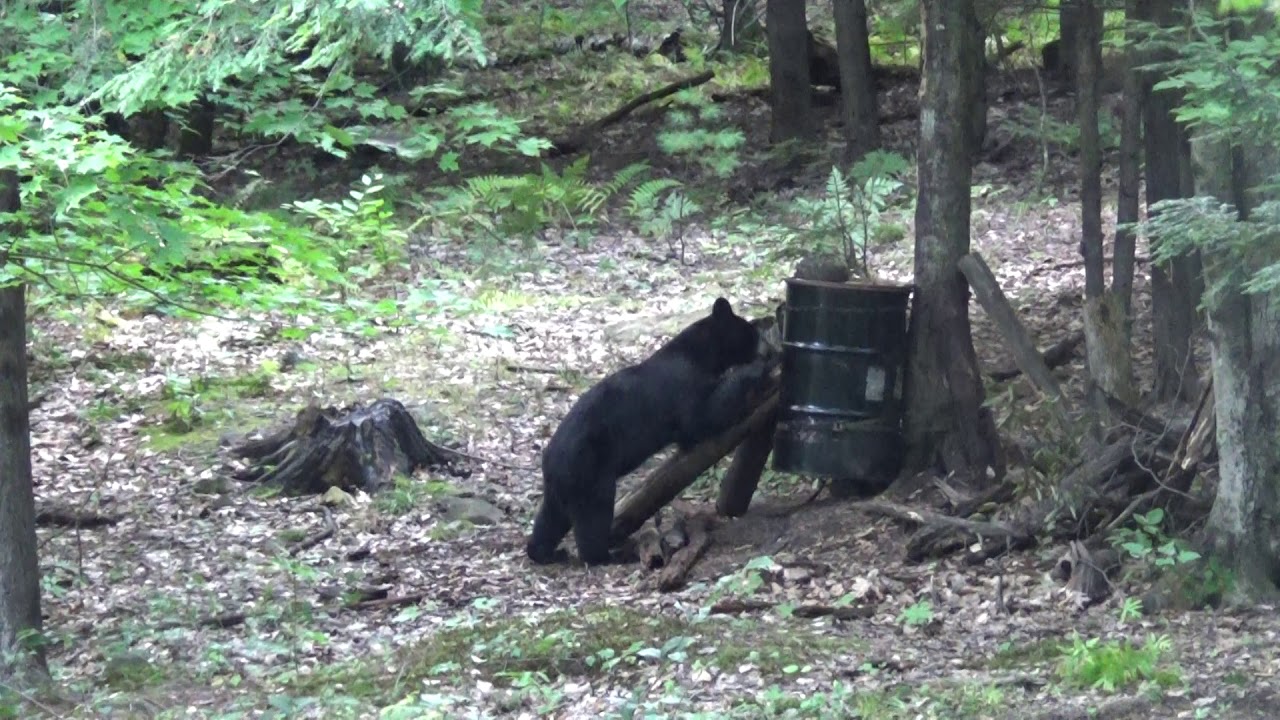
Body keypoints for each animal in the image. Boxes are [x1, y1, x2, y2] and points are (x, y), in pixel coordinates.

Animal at [527, 297, 771, 566]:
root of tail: (551, 460)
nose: (765, 341)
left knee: (550, 519)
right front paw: (755, 370)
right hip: (590, 471)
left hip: (561, 486)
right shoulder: (683, 387)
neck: (699, 353)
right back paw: (611, 555)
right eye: (750, 331)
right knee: (593, 514)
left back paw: (546, 552)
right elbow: (702, 418)